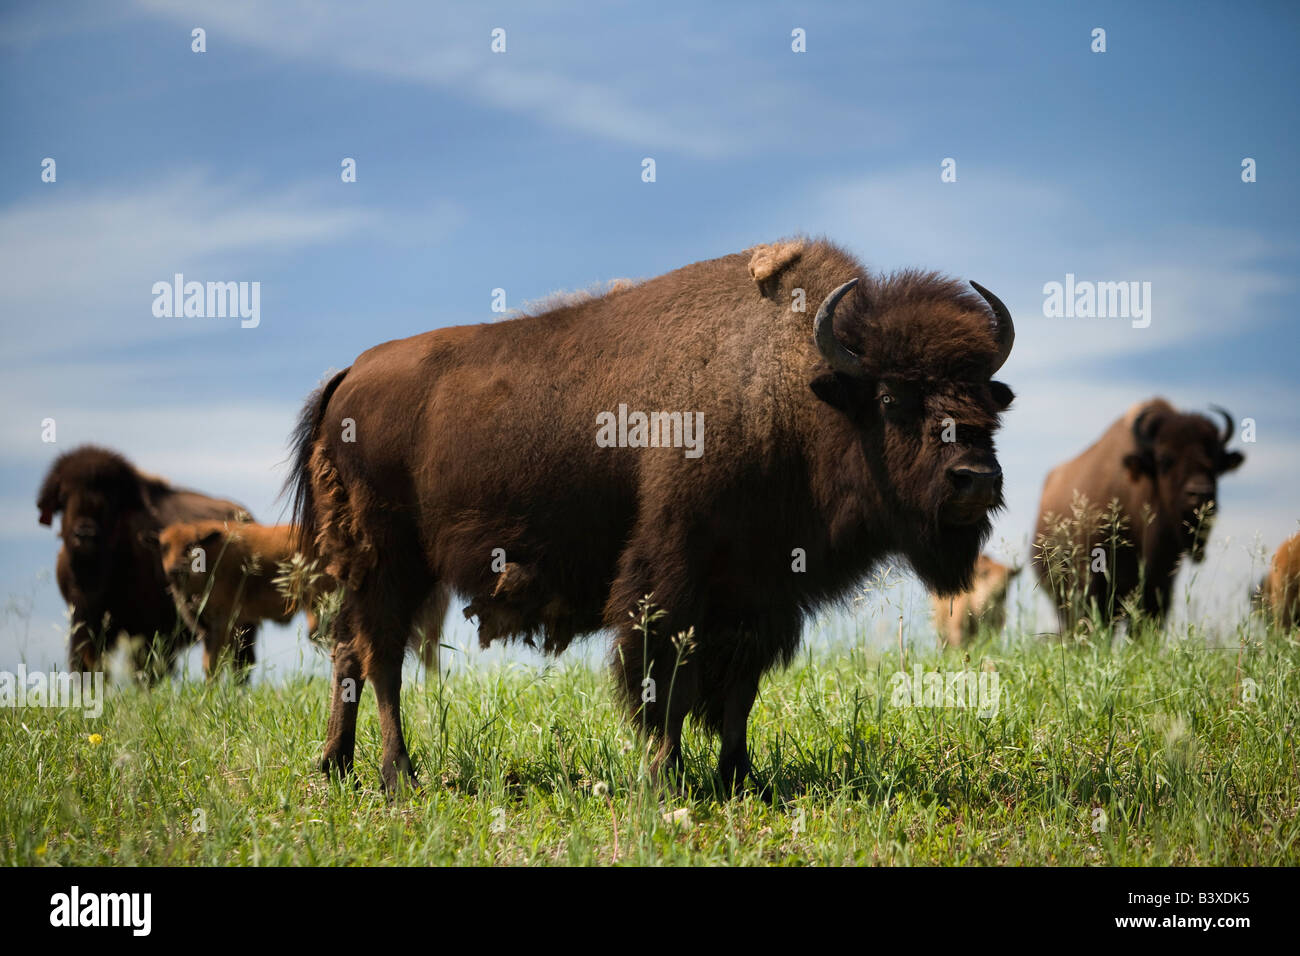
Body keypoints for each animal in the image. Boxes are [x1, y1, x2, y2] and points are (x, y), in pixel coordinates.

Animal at [286, 238, 1016, 795]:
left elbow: (736, 695)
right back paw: (398, 774)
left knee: (351, 652)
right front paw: (666, 779)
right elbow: (665, 684)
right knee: (380, 657)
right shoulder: (671, 579)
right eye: (892, 398)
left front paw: (740, 779)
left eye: (987, 398)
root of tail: (349, 376)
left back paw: (336, 766)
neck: (792, 392)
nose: (975, 480)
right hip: (390, 560)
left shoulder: (760, 597)